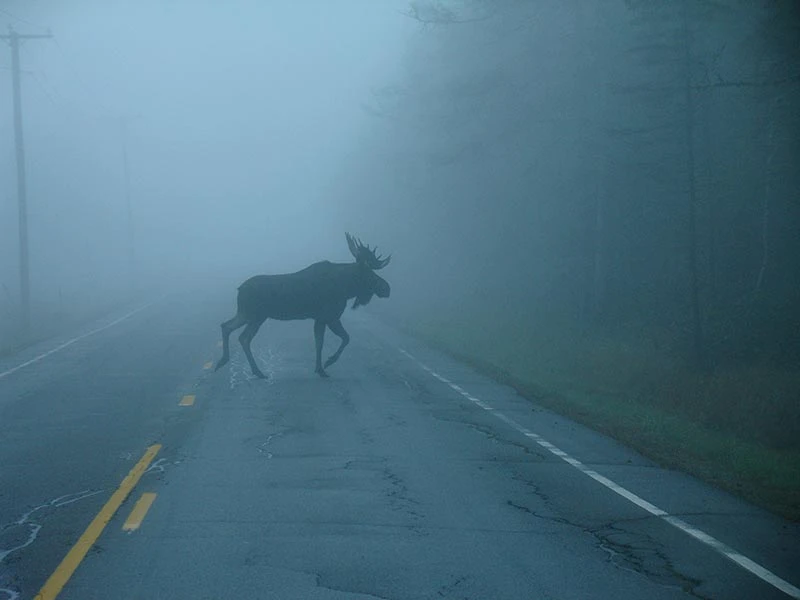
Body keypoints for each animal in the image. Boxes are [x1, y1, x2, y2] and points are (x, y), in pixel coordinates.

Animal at [215, 233, 391, 378]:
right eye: (368, 273)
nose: (386, 288)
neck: (346, 288)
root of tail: (239, 289)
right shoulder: (330, 317)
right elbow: (345, 338)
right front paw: (328, 362)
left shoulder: (320, 319)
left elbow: (320, 343)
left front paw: (319, 368)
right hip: (256, 316)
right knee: (243, 337)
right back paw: (255, 371)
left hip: (247, 314)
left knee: (227, 326)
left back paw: (226, 362)